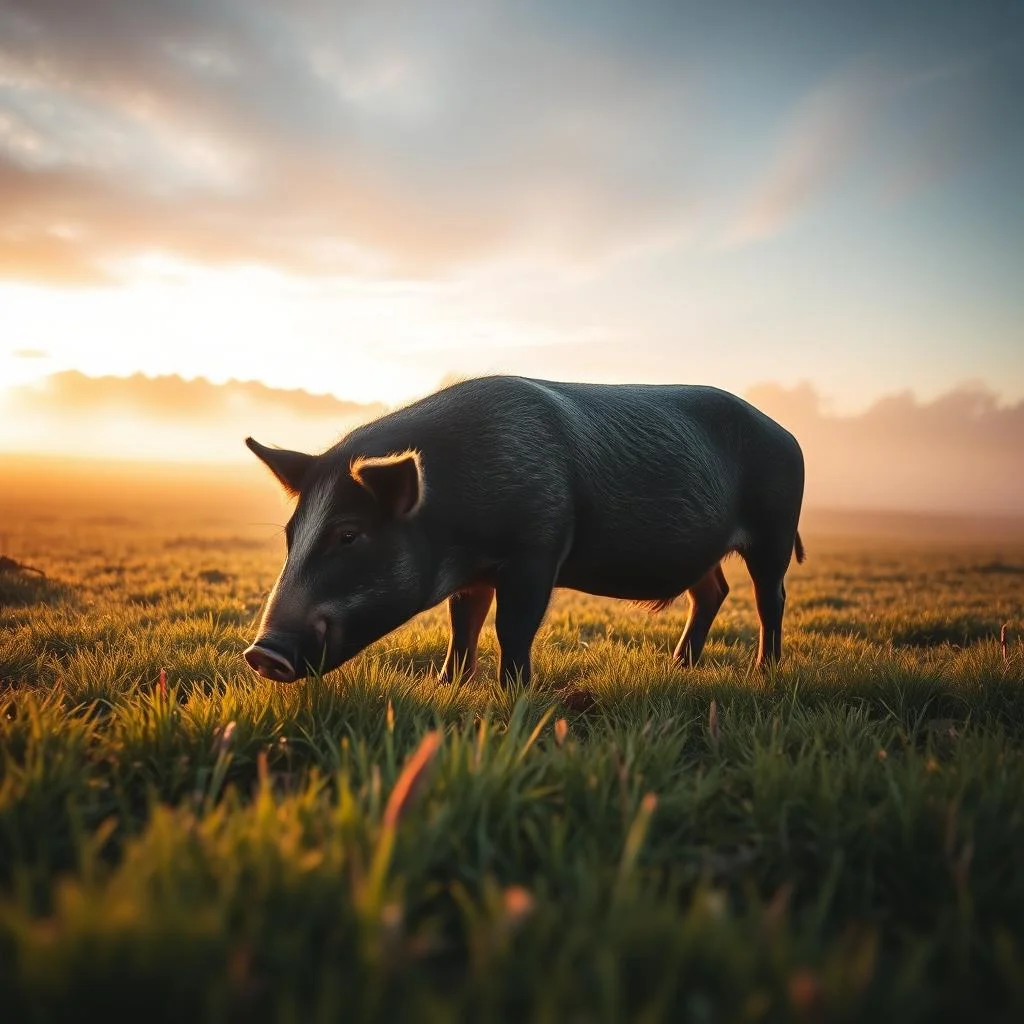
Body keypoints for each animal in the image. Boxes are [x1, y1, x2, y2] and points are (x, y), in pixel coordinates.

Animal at [243, 375, 805, 685]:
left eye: (349, 535)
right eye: (291, 536)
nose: (261, 653)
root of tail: (787, 433)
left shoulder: (538, 549)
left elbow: (512, 626)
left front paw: (514, 692)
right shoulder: (473, 575)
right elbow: (463, 623)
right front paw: (449, 683)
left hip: (776, 528)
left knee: (769, 597)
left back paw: (764, 671)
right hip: (707, 550)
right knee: (713, 590)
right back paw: (679, 667)